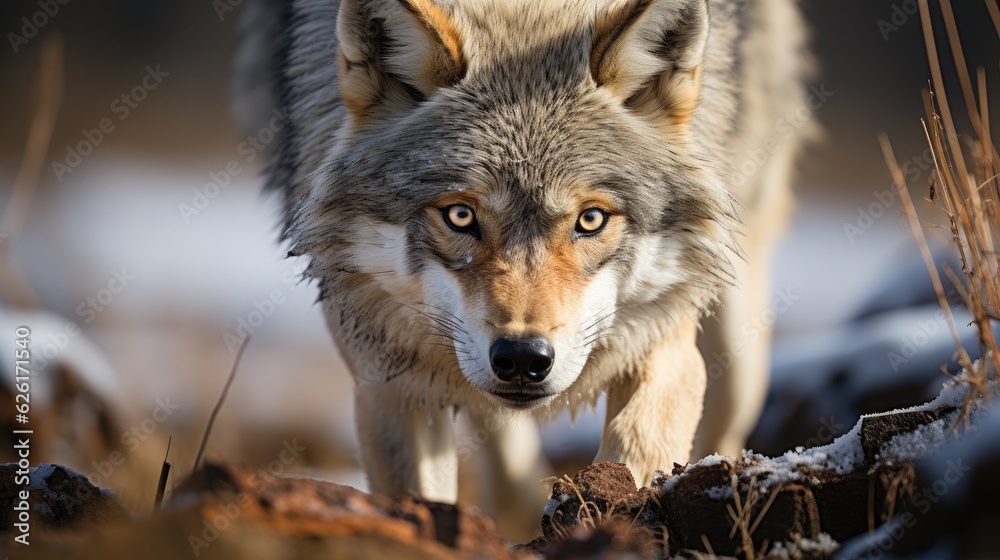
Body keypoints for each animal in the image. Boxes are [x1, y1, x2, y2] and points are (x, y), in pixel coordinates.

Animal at [235, 0, 807, 524]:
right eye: (461, 215)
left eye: (591, 219)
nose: (523, 358)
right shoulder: (388, 384)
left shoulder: (659, 337)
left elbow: (634, 452)